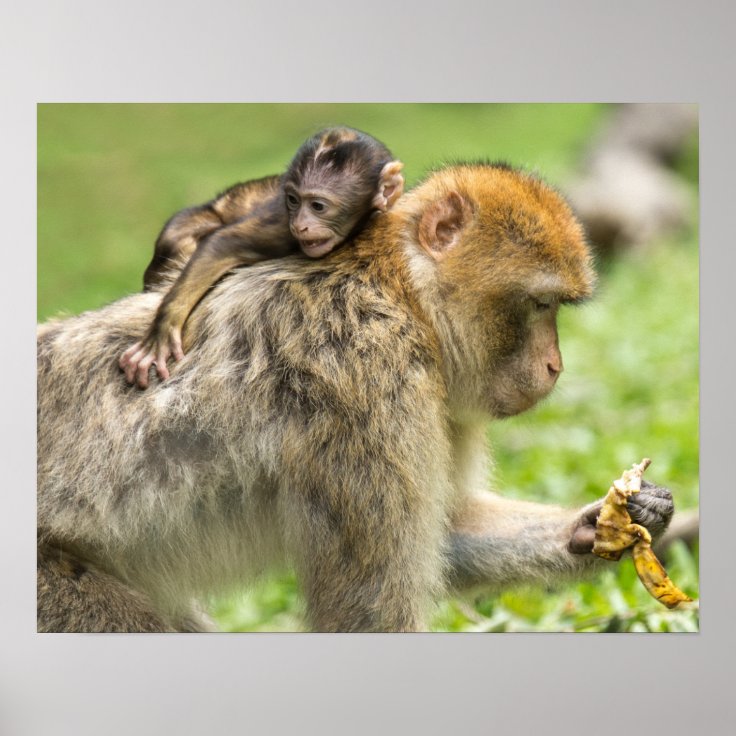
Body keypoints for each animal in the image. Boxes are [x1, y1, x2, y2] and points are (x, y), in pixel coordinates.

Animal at [37, 162, 674, 632]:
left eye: (557, 307)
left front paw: (605, 522)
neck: (402, 294)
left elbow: (447, 532)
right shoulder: (365, 381)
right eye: (541, 304)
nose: (554, 366)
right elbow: (370, 611)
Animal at [119, 127, 405, 388]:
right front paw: (162, 332)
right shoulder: (281, 227)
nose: (301, 225)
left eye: (318, 206)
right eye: (293, 200)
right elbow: (222, 245)